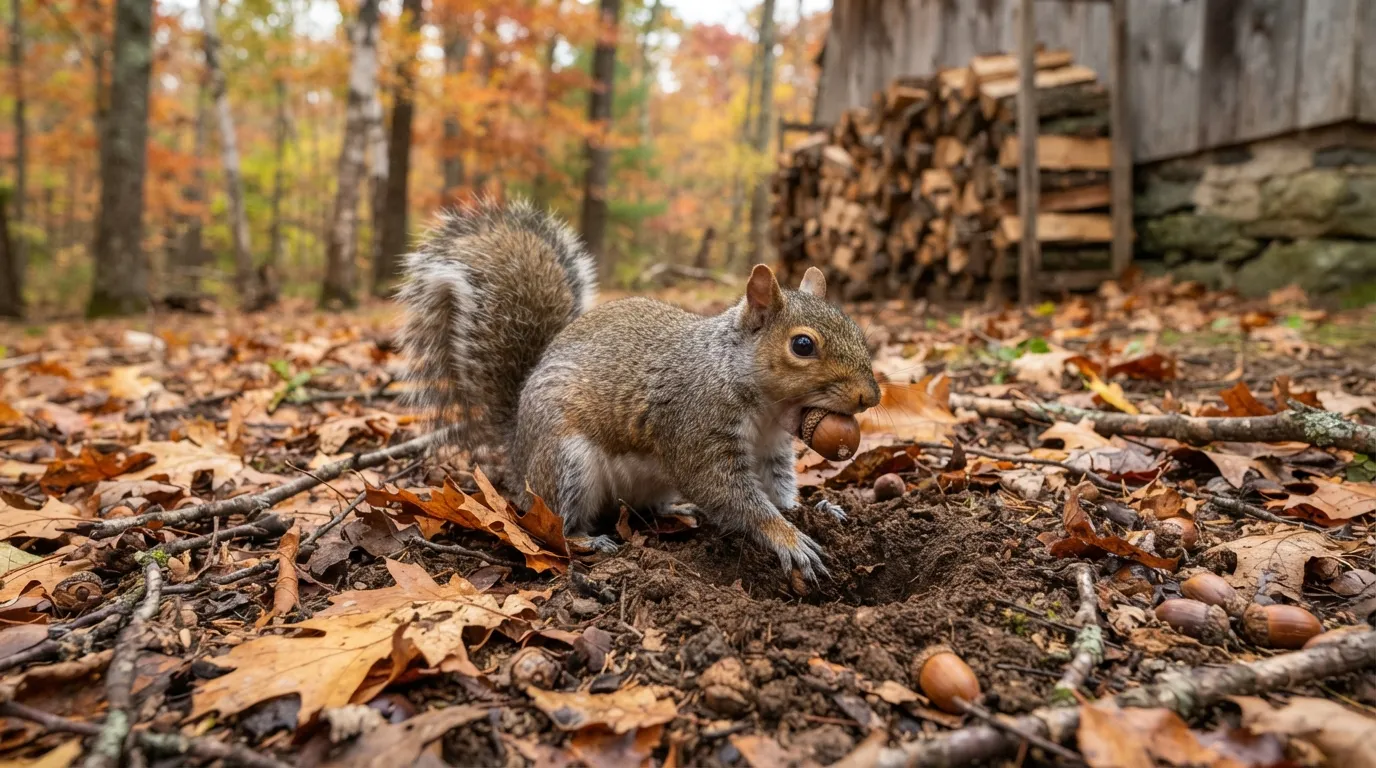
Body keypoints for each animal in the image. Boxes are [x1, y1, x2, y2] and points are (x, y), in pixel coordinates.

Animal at [397, 198, 880, 581]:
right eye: (803, 345)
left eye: (857, 330)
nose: (870, 397)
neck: (765, 407)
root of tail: (518, 449)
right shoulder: (696, 427)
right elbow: (727, 492)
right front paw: (786, 537)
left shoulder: (772, 448)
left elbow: (778, 489)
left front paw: (812, 511)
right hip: (566, 463)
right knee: (555, 525)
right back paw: (588, 541)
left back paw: (677, 512)